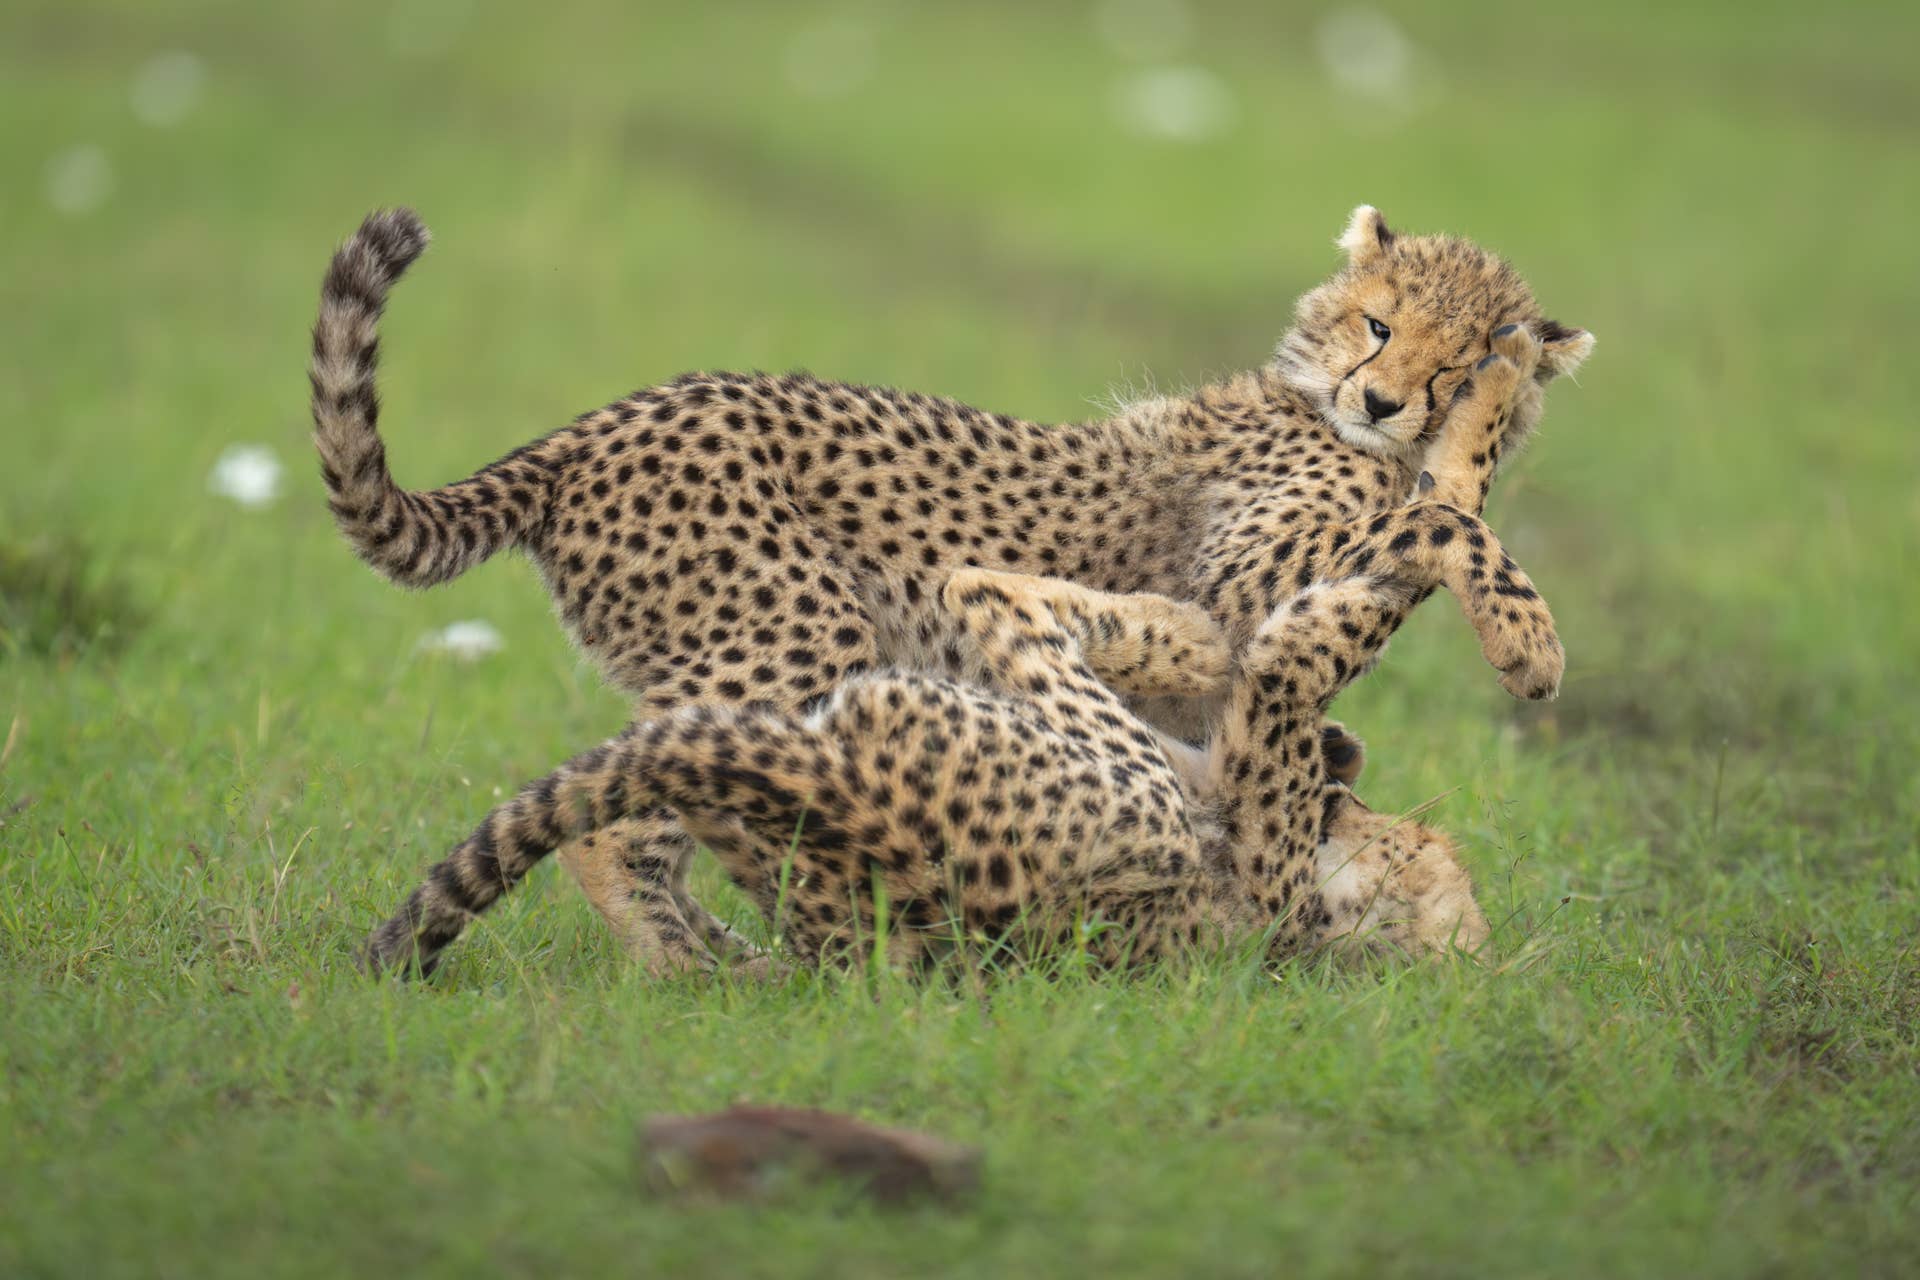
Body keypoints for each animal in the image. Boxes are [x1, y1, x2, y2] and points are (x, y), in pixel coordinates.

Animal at [309, 203, 1591, 977]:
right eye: (1378, 324)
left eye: (1441, 360)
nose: (1382, 399)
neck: (1322, 409)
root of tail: (590, 429)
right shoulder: (1250, 571)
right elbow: (1445, 513)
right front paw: (1528, 637)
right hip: (799, 635)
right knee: (626, 825)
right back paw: (710, 964)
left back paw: (725, 956)